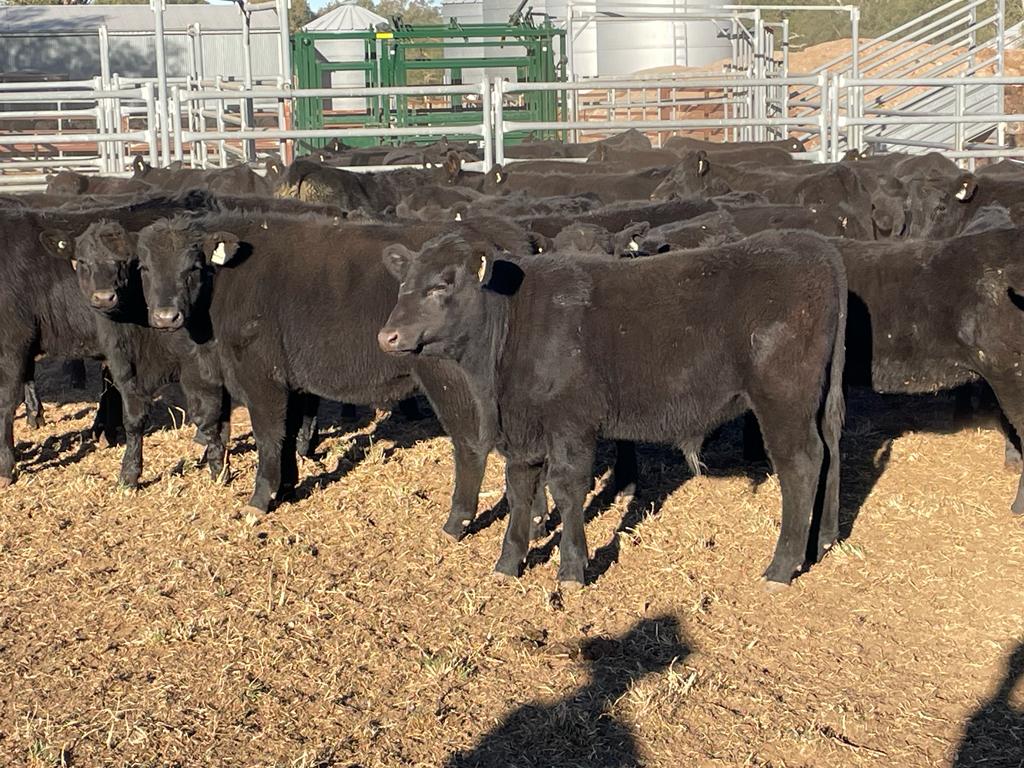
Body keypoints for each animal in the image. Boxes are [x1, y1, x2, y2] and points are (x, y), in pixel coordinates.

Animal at [378, 229, 846, 588]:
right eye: (402, 285)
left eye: (443, 284)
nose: (388, 337)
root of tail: (813, 245)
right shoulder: (521, 430)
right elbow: (520, 490)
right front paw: (508, 563)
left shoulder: (571, 423)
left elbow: (566, 489)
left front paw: (571, 567)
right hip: (819, 402)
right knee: (831, 454)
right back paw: (821, 542)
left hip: (783, 399)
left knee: (802, 464)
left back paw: (781, 566)